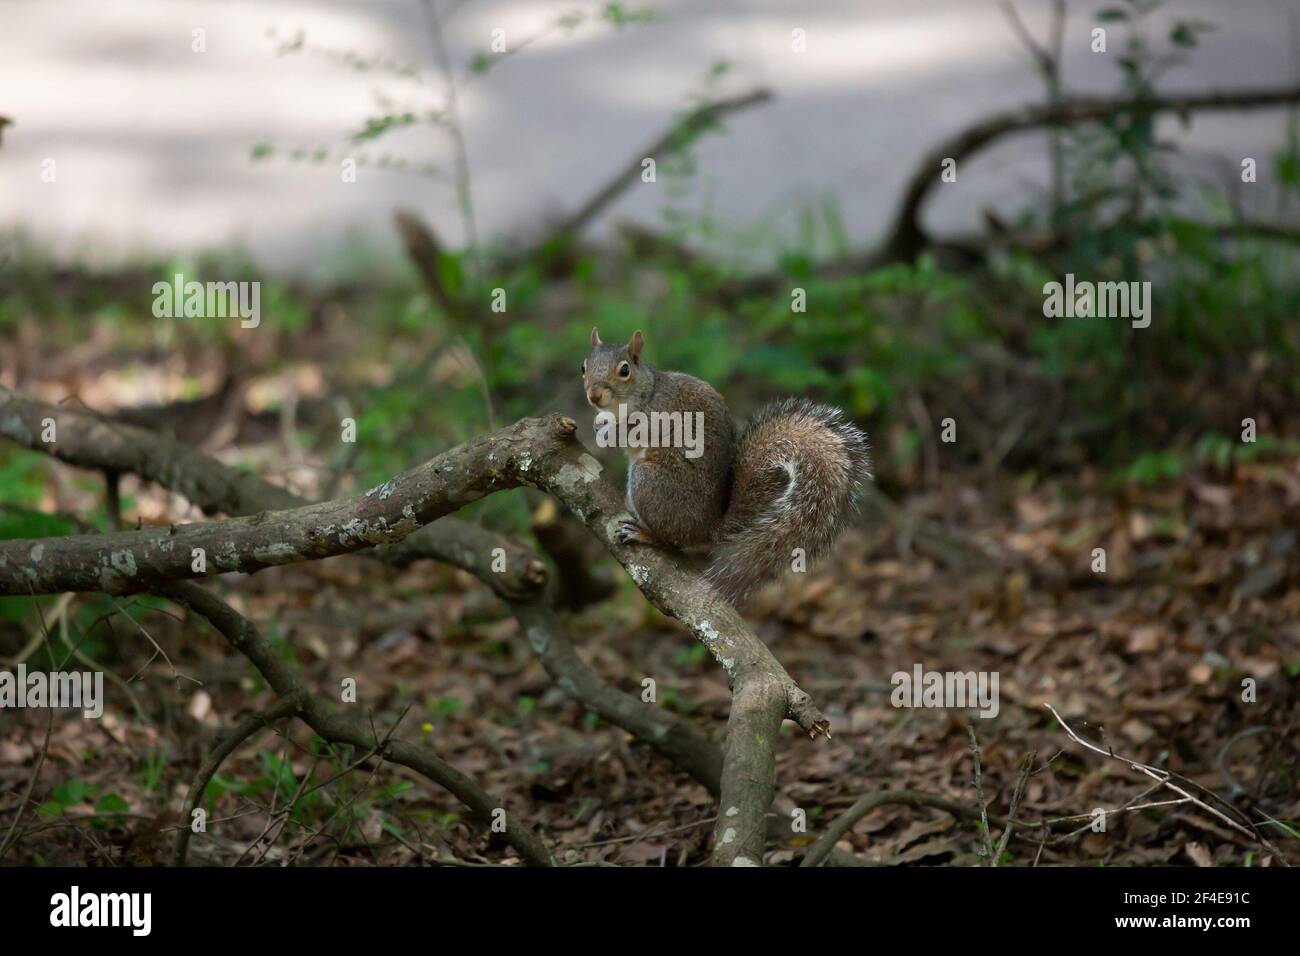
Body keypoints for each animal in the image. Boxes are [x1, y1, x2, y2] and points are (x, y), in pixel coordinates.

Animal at [582, 327, 871, 604]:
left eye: (624, 370)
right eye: (584, 367)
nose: (594, 395)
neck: (639, 394)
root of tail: (709, 527)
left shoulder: (656, 415)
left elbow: (630, 433)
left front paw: (606, 431)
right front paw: (599, 422)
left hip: (648, 481)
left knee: (673, 542)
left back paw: (645, 534)